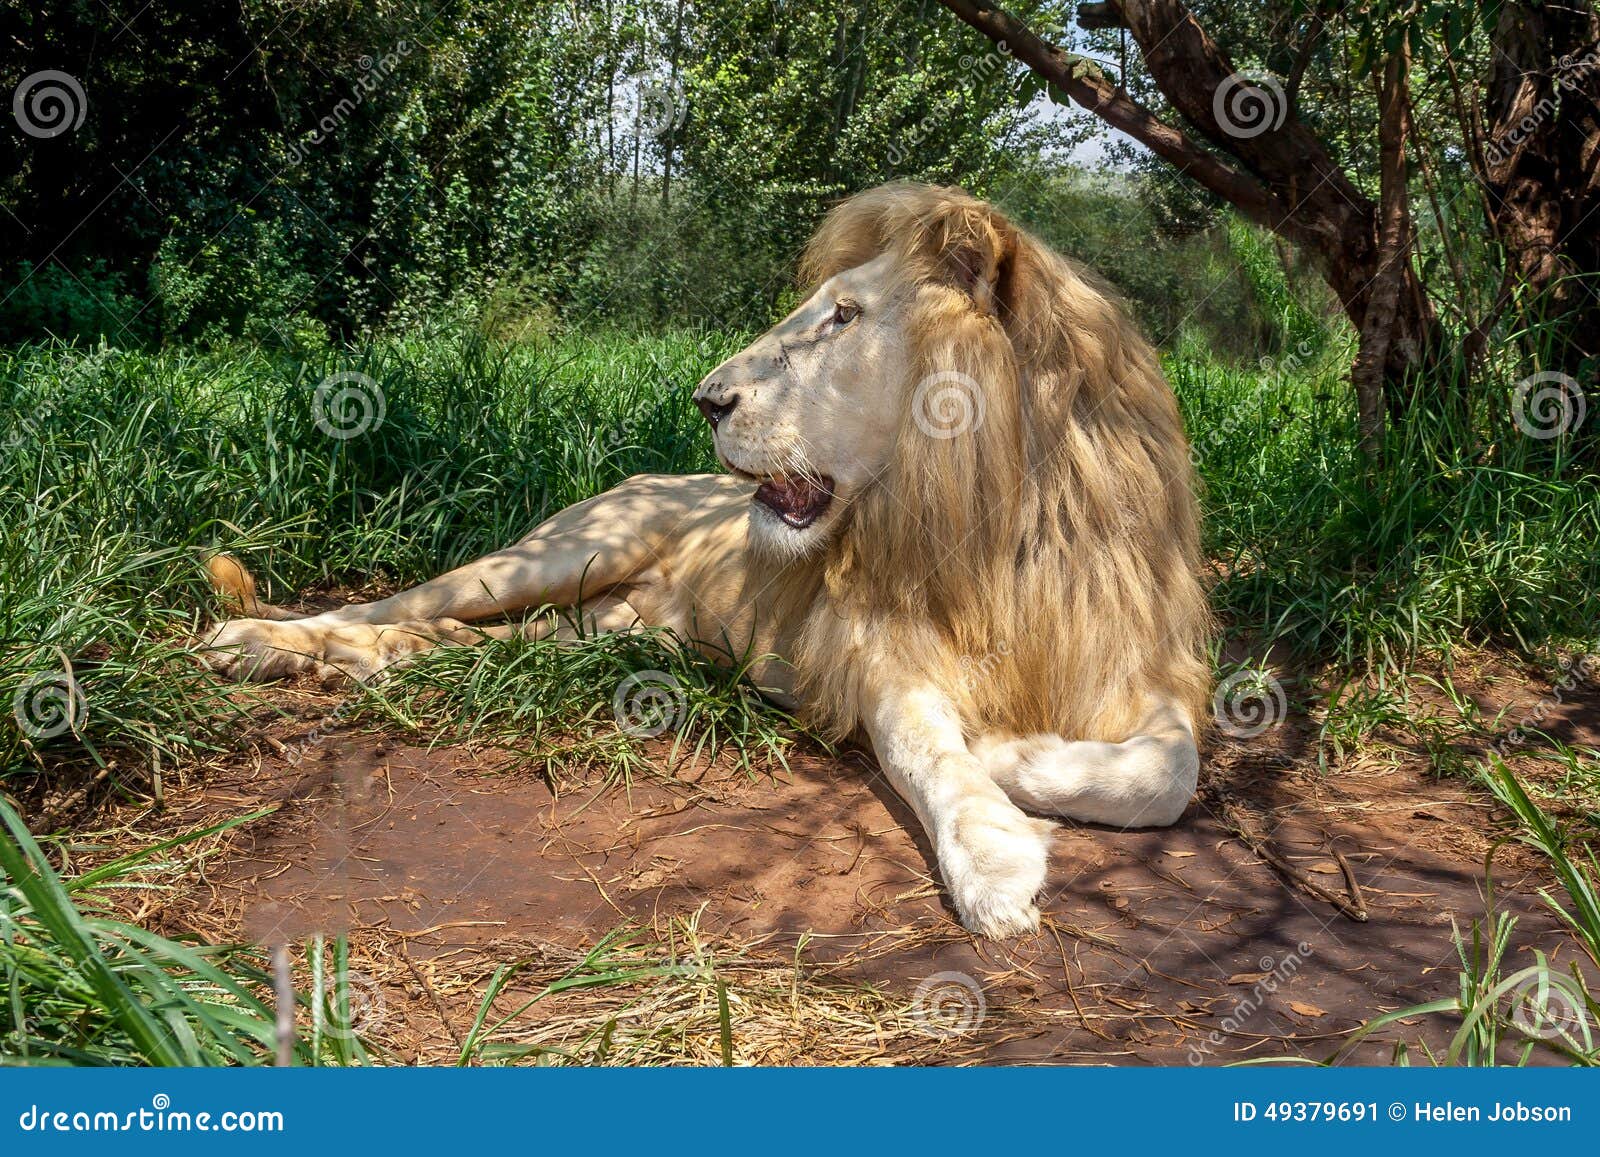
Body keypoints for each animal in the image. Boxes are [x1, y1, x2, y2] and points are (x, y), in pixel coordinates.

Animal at [202, 183, 1212, 939]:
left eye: (844, 317)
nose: (706, 398)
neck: (1001, 532)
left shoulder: (1143, 665)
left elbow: (1168, 773)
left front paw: (1017, 752)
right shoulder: (879, 659)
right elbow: (927, 748)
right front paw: (993, 846)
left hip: (593, 629)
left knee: (462, 640)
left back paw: (368, 663)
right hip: (568, 547)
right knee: (386, 603)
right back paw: (251, 643)